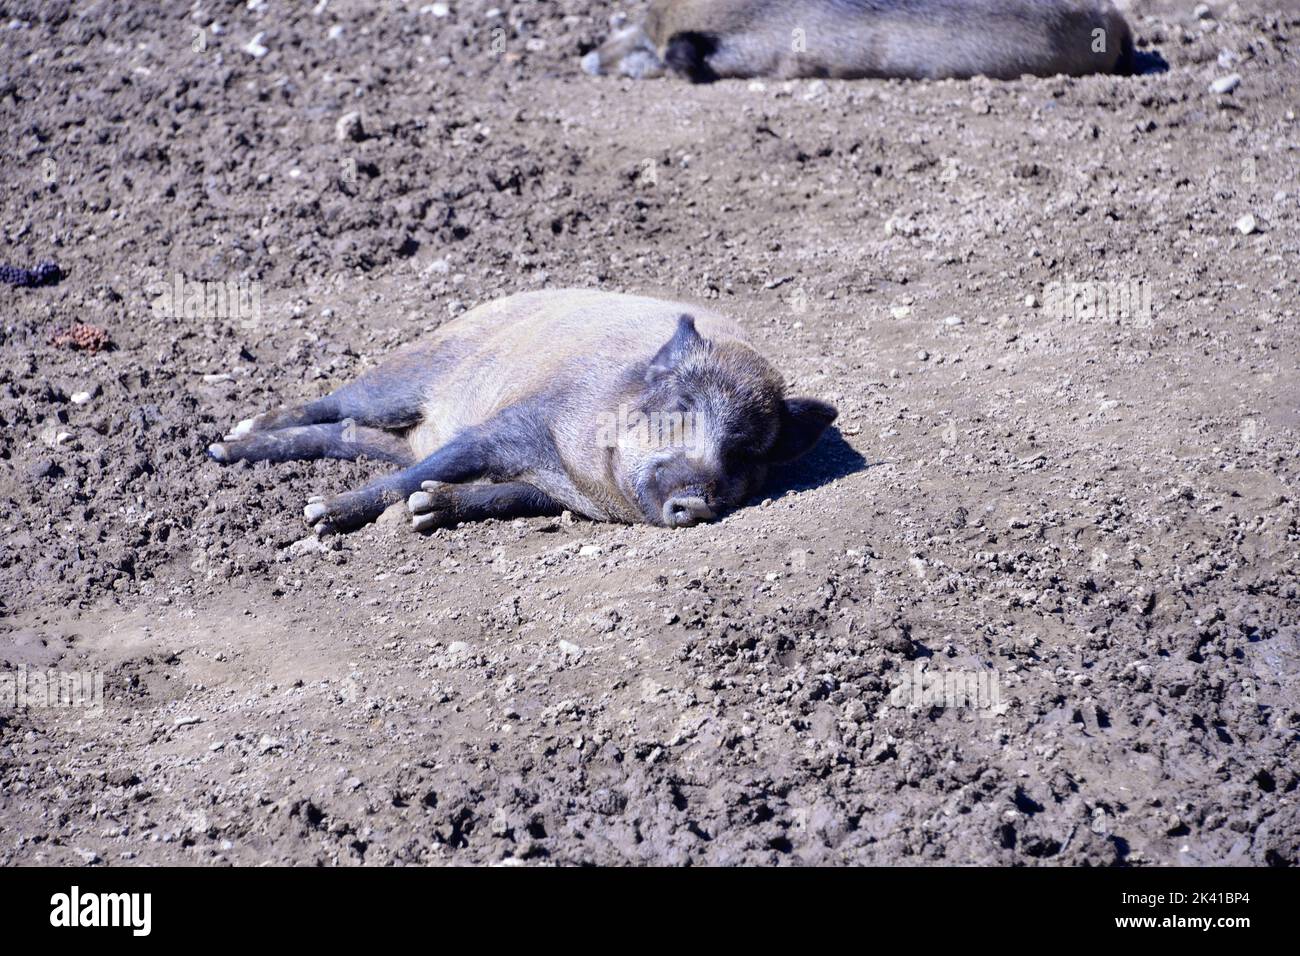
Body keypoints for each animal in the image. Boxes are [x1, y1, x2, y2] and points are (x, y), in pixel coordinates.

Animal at [208, 290, 838, 535]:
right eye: (679, 409)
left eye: (746, 451)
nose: (697, 500)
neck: (576, 473)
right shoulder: (508, 423)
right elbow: (413, 477)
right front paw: (319, 515)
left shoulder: (547, 491)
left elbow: (495, 496)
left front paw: (425, 511)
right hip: (408, 373)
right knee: (338, 404)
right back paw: (228, 440)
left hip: (390, 429)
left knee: (346, 433)